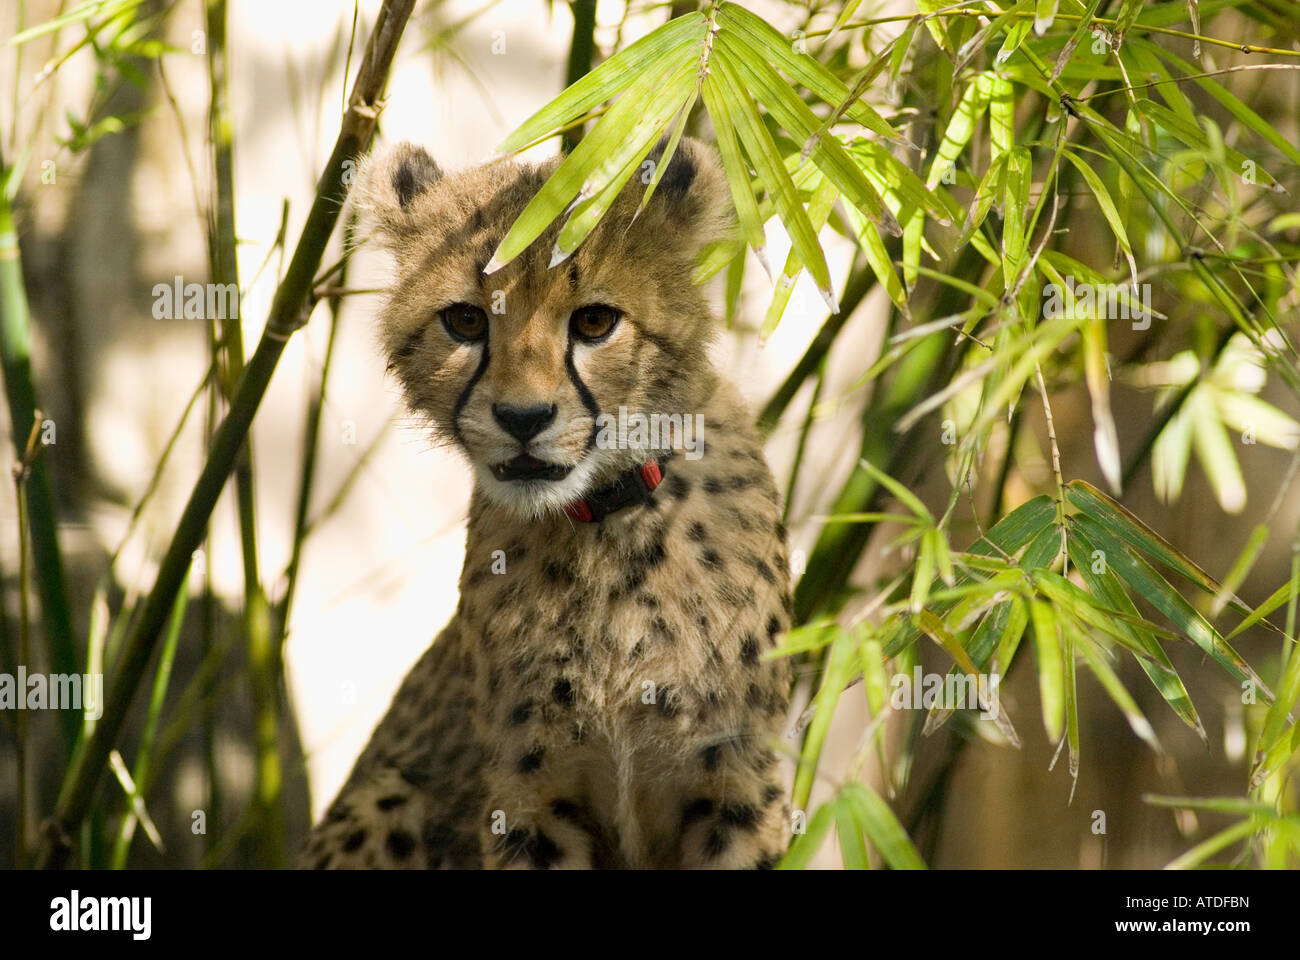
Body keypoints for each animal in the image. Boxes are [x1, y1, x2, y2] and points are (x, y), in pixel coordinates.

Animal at [298, 136, 794, 869]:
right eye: (465, 320)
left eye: (594, 320)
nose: (523, 417)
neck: (603, 524)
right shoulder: (527, 796)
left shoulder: (737, 784)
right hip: (382, 797)